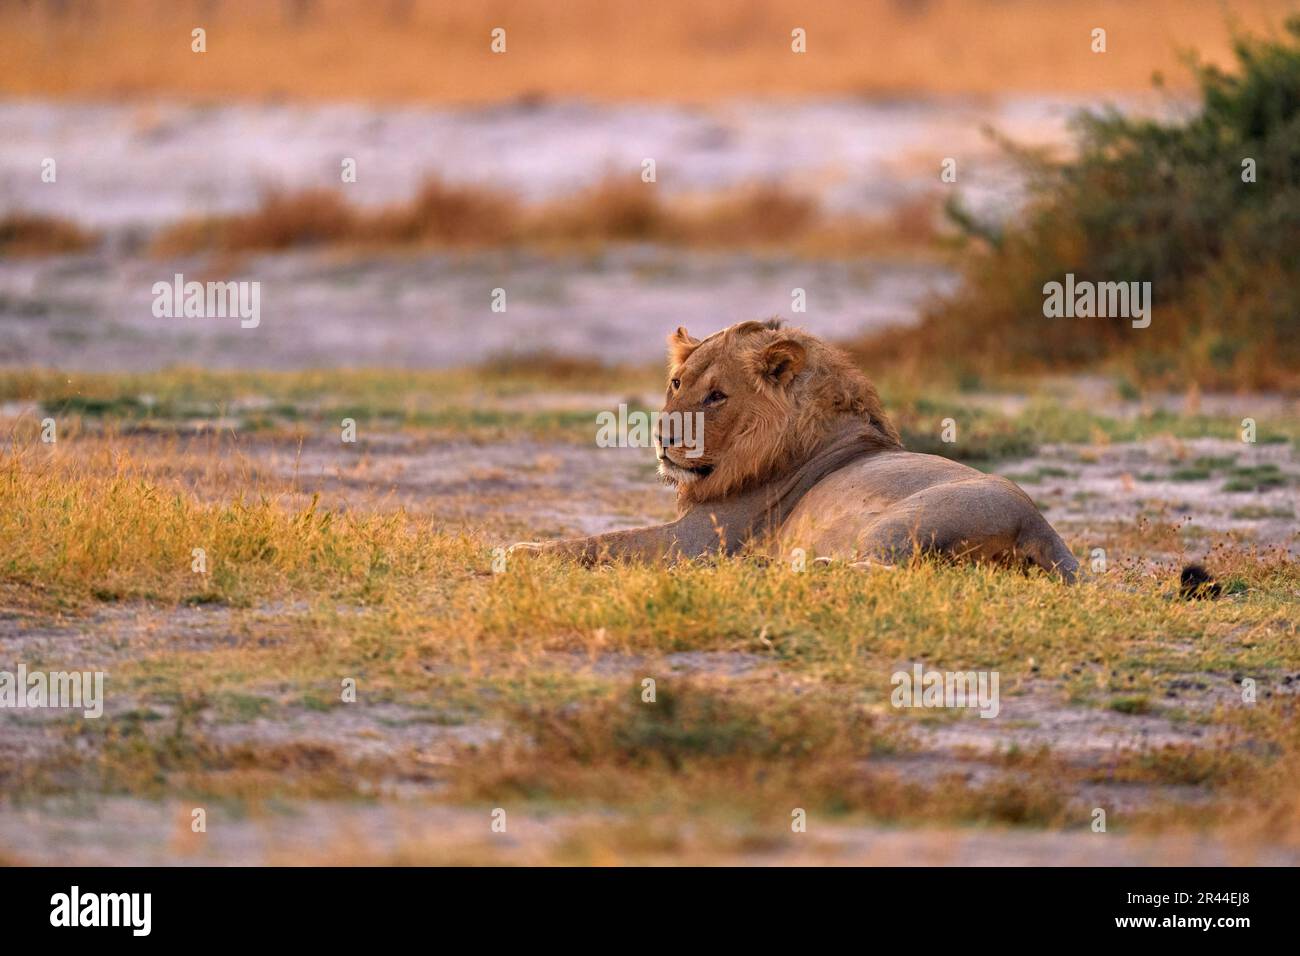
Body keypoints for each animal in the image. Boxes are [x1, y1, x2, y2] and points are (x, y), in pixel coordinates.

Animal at [510, 319, 1079, 582]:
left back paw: (801, 566)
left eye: (717, 396)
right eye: (676, 383)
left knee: (889, 568)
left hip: (902, 521)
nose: (664, 439)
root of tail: (1038, 526)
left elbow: (600, 541)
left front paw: (519, 549)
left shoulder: (695, 542)